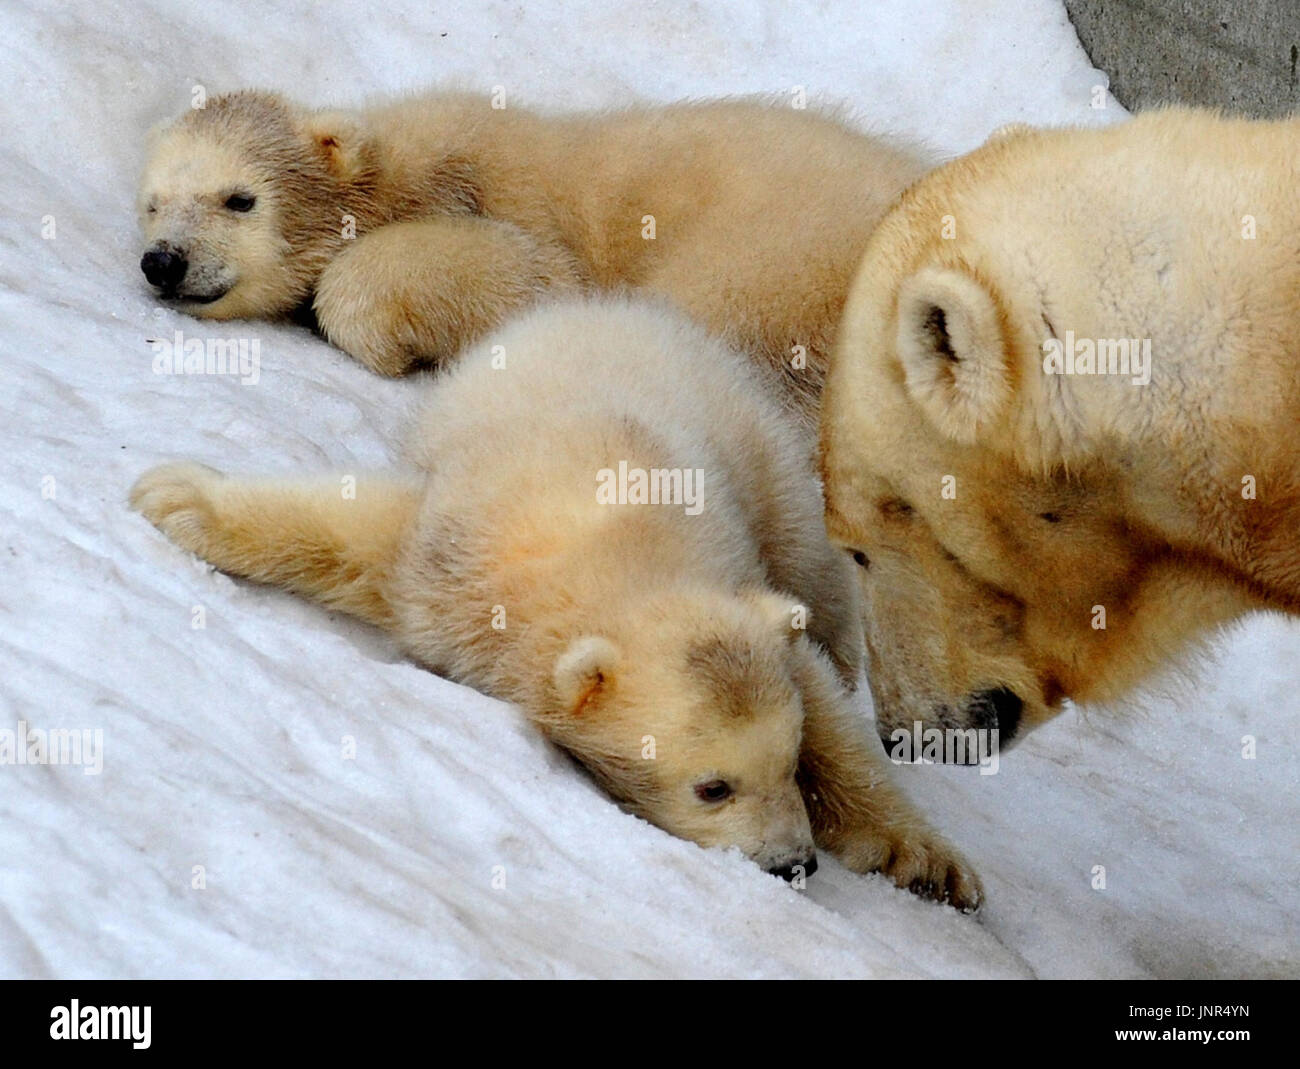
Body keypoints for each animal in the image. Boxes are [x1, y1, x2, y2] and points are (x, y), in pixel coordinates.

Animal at [131, 297, 981, 909]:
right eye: (712, 785)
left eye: (790, 761)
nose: (790, 863)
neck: (619, 545)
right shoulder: (462, 563)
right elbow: (367, 533)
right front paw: (177, 498)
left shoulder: (729, 573)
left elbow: (819, 698)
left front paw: (930, 862)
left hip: (765, 457)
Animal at [137, 89, 928, 426]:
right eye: (152, 201)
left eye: (239, 198)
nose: (163, 262)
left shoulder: (495, 177)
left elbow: (535, 277)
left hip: (778, 261)